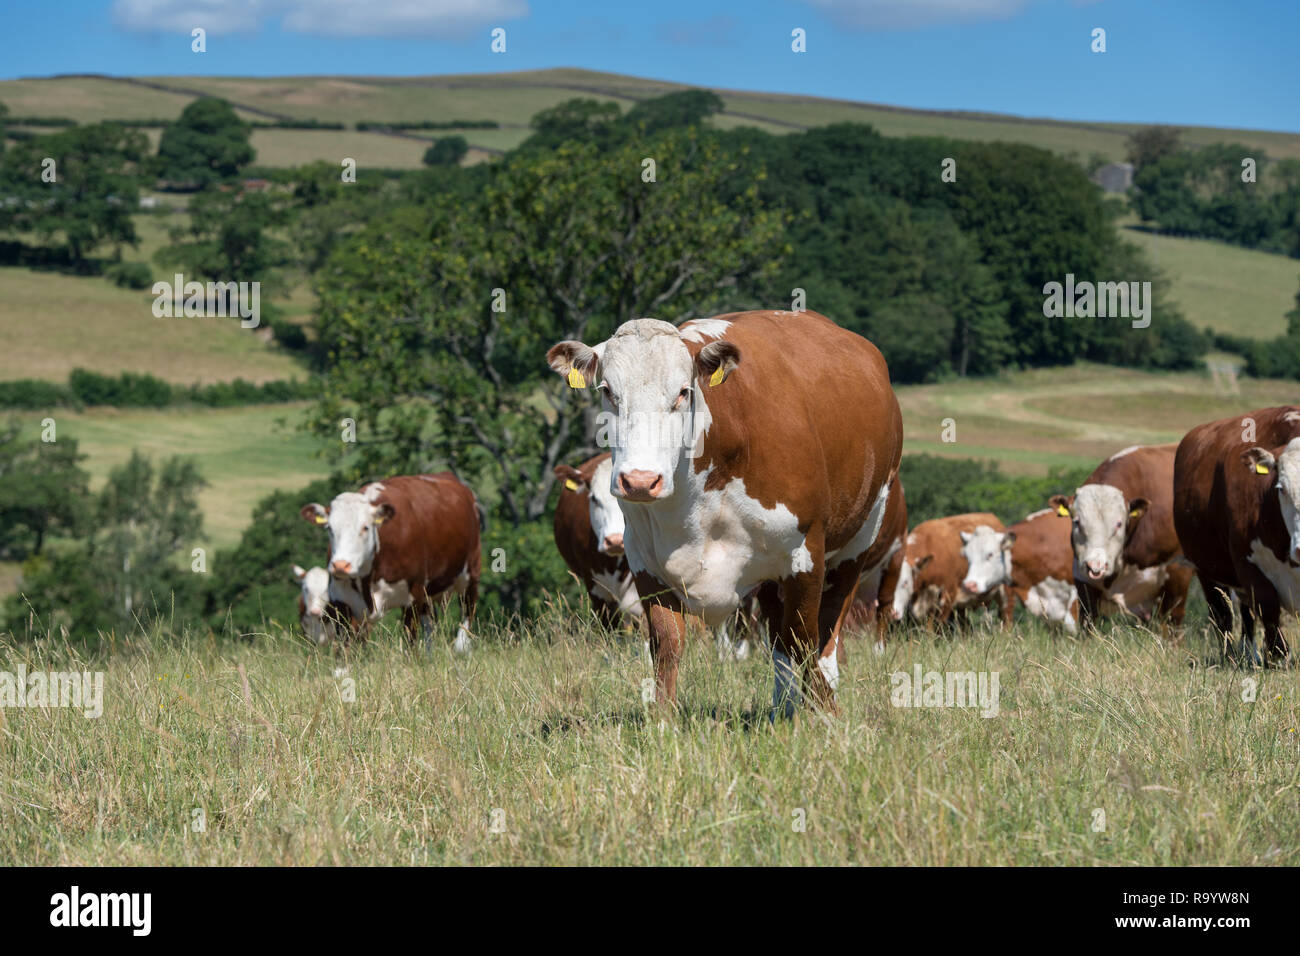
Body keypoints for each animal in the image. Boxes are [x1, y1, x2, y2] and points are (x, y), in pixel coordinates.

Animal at [301, 472, 483, 652]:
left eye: (365, 527)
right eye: (329, 528)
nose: (340, 565)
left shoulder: (412, 597)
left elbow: (410, 645)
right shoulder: (341, 603)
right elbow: (344, 650)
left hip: (470, 573)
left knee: (468, 612)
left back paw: (461, 647)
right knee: (430, 626)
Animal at [1173, 406, 1300, 664]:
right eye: (1281, 488)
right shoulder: (1246, 562)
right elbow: (1268, 608)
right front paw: (1278, 656)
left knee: (1245, 613)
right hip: (1205, 570)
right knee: (1223, 615)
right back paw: (1232, 656)